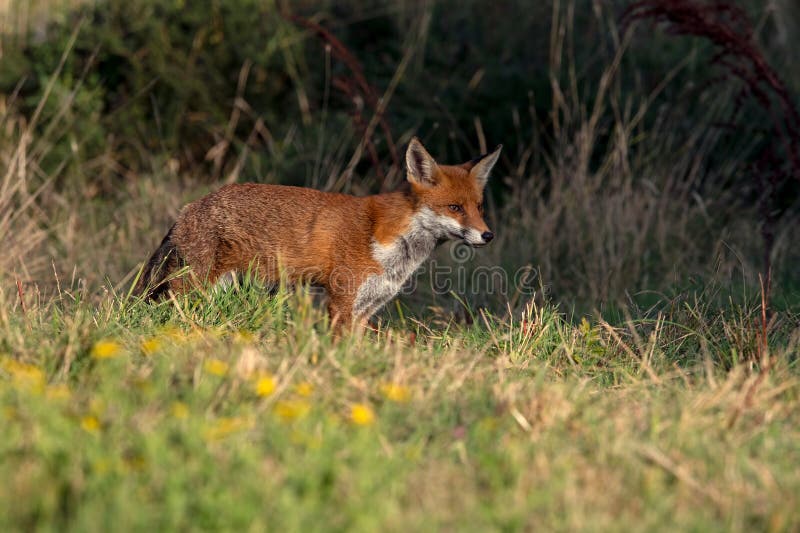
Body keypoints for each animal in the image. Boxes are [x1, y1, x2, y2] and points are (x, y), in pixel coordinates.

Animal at [133, 137, 501, 328]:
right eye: (454, 207)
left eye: (479, 207)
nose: (488, 236)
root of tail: (188, 208)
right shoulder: (341, 299)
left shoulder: (368, 306)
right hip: (192, 287)